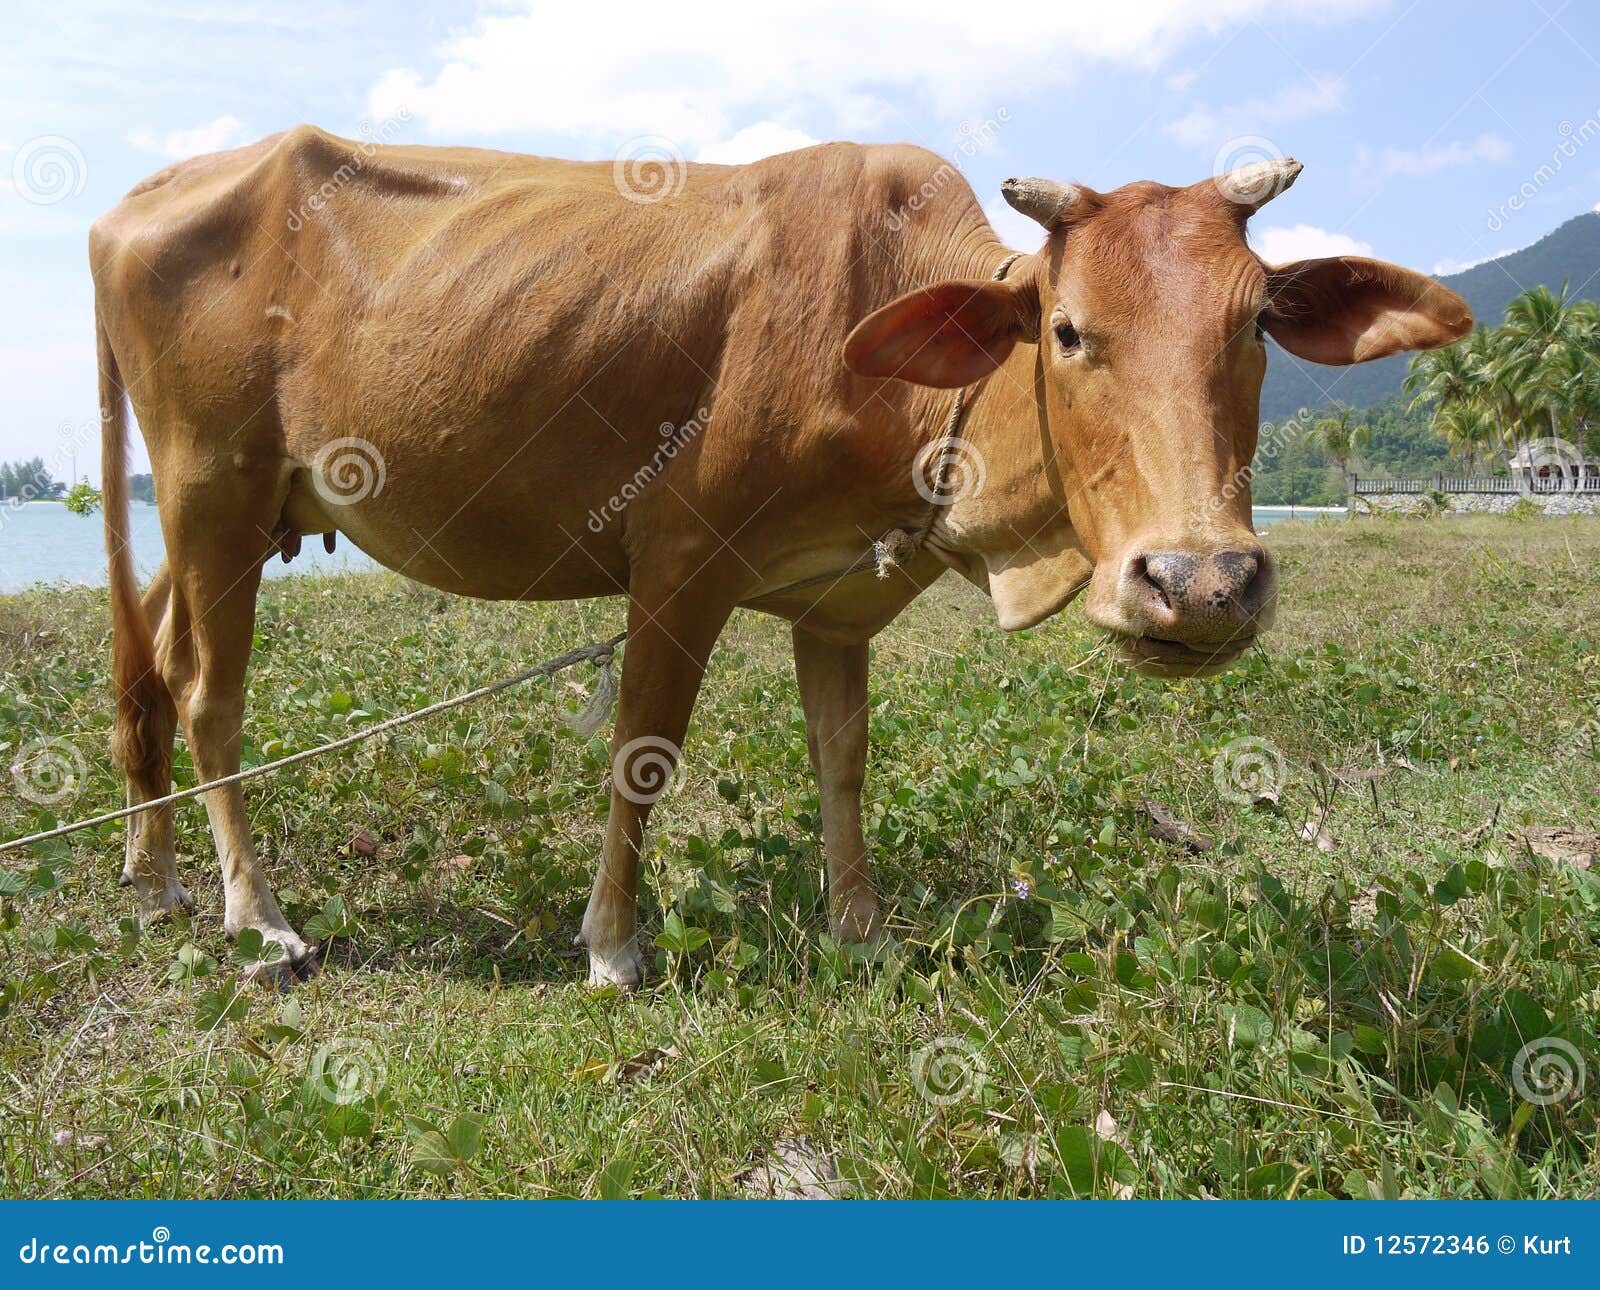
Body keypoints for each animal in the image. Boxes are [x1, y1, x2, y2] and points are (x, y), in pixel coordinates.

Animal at [89, 127, 1470, 987]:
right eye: (1069, 330)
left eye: (1256, 326)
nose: (1201, 585)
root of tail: (135, 199)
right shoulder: (678, 561)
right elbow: (643, 753)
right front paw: (611, 947)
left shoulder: (840, 603)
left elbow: (841, 759)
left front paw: (861, 931)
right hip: (213, 491)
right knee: (211, 695)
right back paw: (260, 915)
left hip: (235, 517)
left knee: (149, 667)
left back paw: (153, 876)